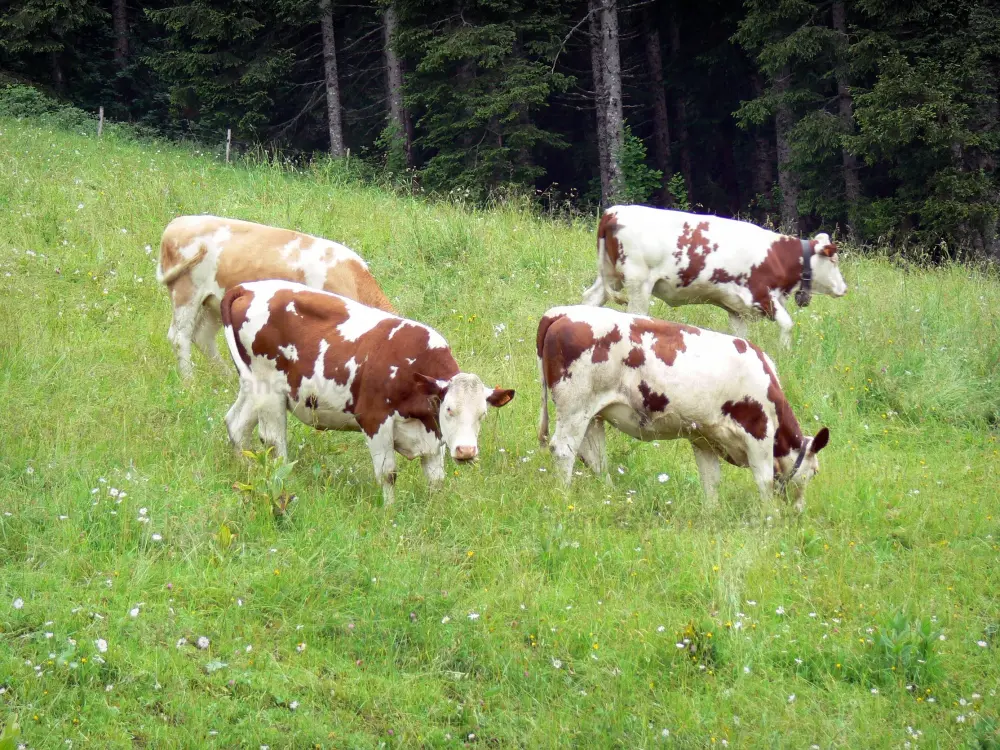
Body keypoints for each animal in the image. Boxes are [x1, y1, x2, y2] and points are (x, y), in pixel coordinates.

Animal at [156, 215, 395, 379]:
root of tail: (177, 222)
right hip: (186, 292)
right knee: (179, 336)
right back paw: (189, 380)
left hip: (213, 302)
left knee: (202, 337)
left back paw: (228, 377)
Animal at [220, 280, 515, 505]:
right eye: (450, 409)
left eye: (482, 415)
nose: (466, 451)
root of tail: (247, 288)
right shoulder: (375, 420)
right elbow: (388, 474)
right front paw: (390, 513)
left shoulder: (432, 434)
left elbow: (436, 479)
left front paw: (435, 510)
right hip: (268, 391)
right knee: (274, 441)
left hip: (254, 388)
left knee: (236, 424)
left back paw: (246, 469)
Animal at [537, 305, 830, 512]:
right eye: (815, 472)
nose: (799, 510)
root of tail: (561, 314)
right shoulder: (759, 434)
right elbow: (765, 481)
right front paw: (770, 519)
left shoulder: (704, 438)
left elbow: (711, 481)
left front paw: (712, 514)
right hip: (575, 406)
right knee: (564, 450)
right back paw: (564, 495)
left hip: (592, 412)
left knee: (593, 456)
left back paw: (610, 494)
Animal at [581, 205, 848, 347]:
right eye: (834, 260)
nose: (844, 289)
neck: (777, 256)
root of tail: (614, 211)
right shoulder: (761, 295)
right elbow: (787, 324)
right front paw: (785, 351)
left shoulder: (737, 309)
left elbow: (741, 337)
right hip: (638, 283)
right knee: (635, 315)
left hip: (610, 276)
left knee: (590, 299)